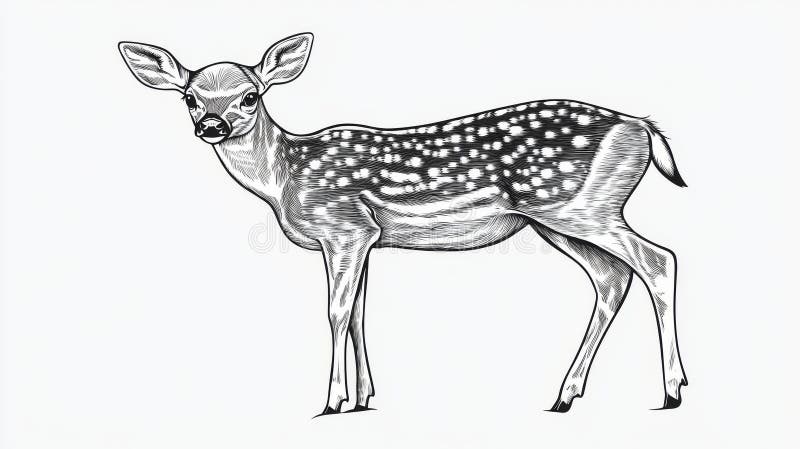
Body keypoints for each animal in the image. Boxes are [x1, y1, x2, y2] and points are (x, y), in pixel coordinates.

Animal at [119, 32, 688, 415]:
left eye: (250, 95)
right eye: (189, 97)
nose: (210, 125)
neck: (285, 177)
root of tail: (642, 126)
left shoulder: (343, 229)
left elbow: (335, 312)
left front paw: (332, 401)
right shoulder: (364, 240)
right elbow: (359, 313)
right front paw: (364, 398)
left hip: (580, 207)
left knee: (658, 260)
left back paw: (671, 391)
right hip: (557, 219)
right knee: (612, 278)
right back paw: (564, 396)